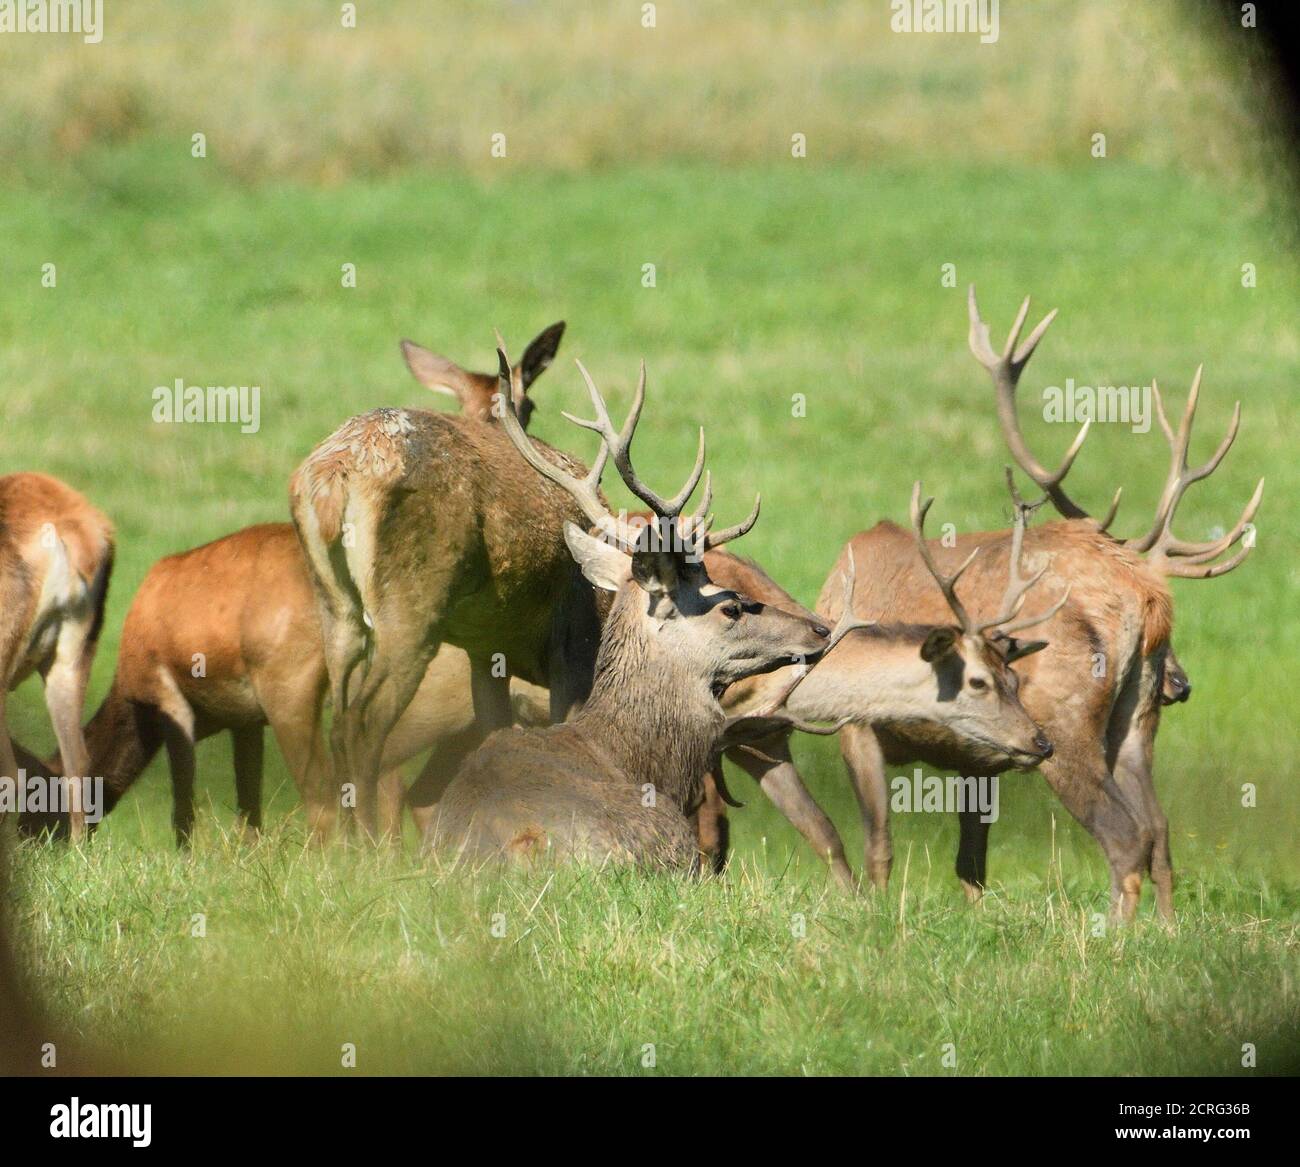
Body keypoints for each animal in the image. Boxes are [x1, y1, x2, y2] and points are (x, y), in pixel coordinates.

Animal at [18, 326, 565, 845]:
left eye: (32, 810)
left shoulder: (188, 700)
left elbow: (206, 808)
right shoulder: (222, 713)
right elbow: (223, 807)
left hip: (319, 665)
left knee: (346, 774)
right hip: (343, 649)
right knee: (361, 762)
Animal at [806, 288, 1261, 921]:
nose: (1183, 683)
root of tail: (1144, 599)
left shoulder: (857, 725)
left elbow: (879, 849)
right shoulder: (982, 751)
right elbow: (971, 864)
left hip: (1064, 718)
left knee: (1126, 835)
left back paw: (1116, 934)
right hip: (1135, 723)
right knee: (1161, 833)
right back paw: (1167, 930)